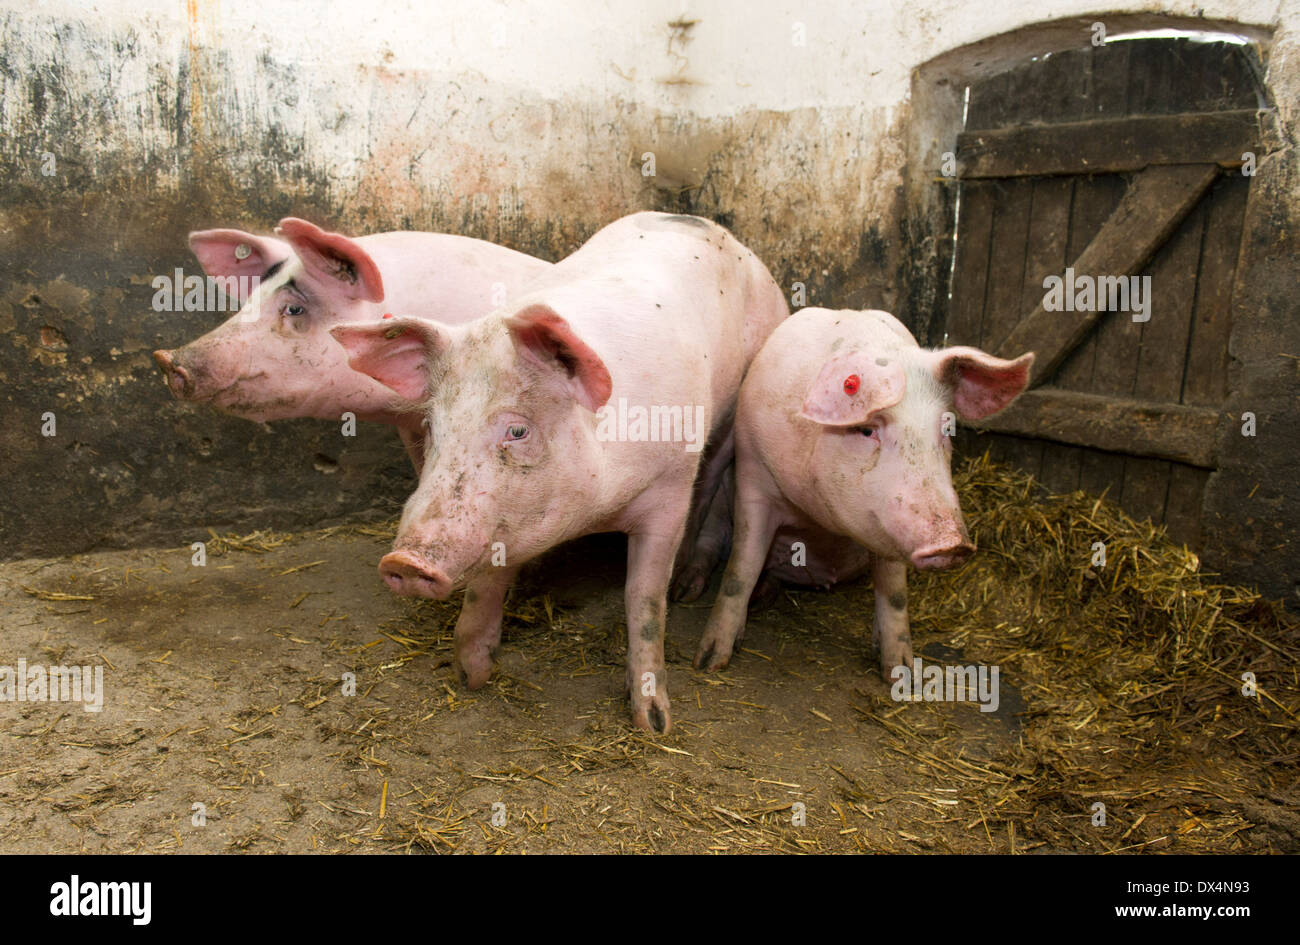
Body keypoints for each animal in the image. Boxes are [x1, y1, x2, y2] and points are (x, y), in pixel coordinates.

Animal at [330, 212, 789, 732]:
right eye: (431, 426)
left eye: (517, 430)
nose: (404, 562)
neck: (596, 508)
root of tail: (714, 226)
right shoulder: (502, 518)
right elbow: (488, 581)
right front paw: (471, 673)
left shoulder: (669, 489)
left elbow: (644, 599)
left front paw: (654, 723)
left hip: (728, 419)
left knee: (709, 484)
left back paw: (686, 587)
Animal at [694, 307, 1033, 680]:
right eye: (867, 430)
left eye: (946, 427)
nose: (952, 544)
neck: (819, 517)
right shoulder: (753, 476)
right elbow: (740, 571)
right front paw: (709, 662)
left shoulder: (887, 525)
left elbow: (895, 594)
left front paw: (901, 674)